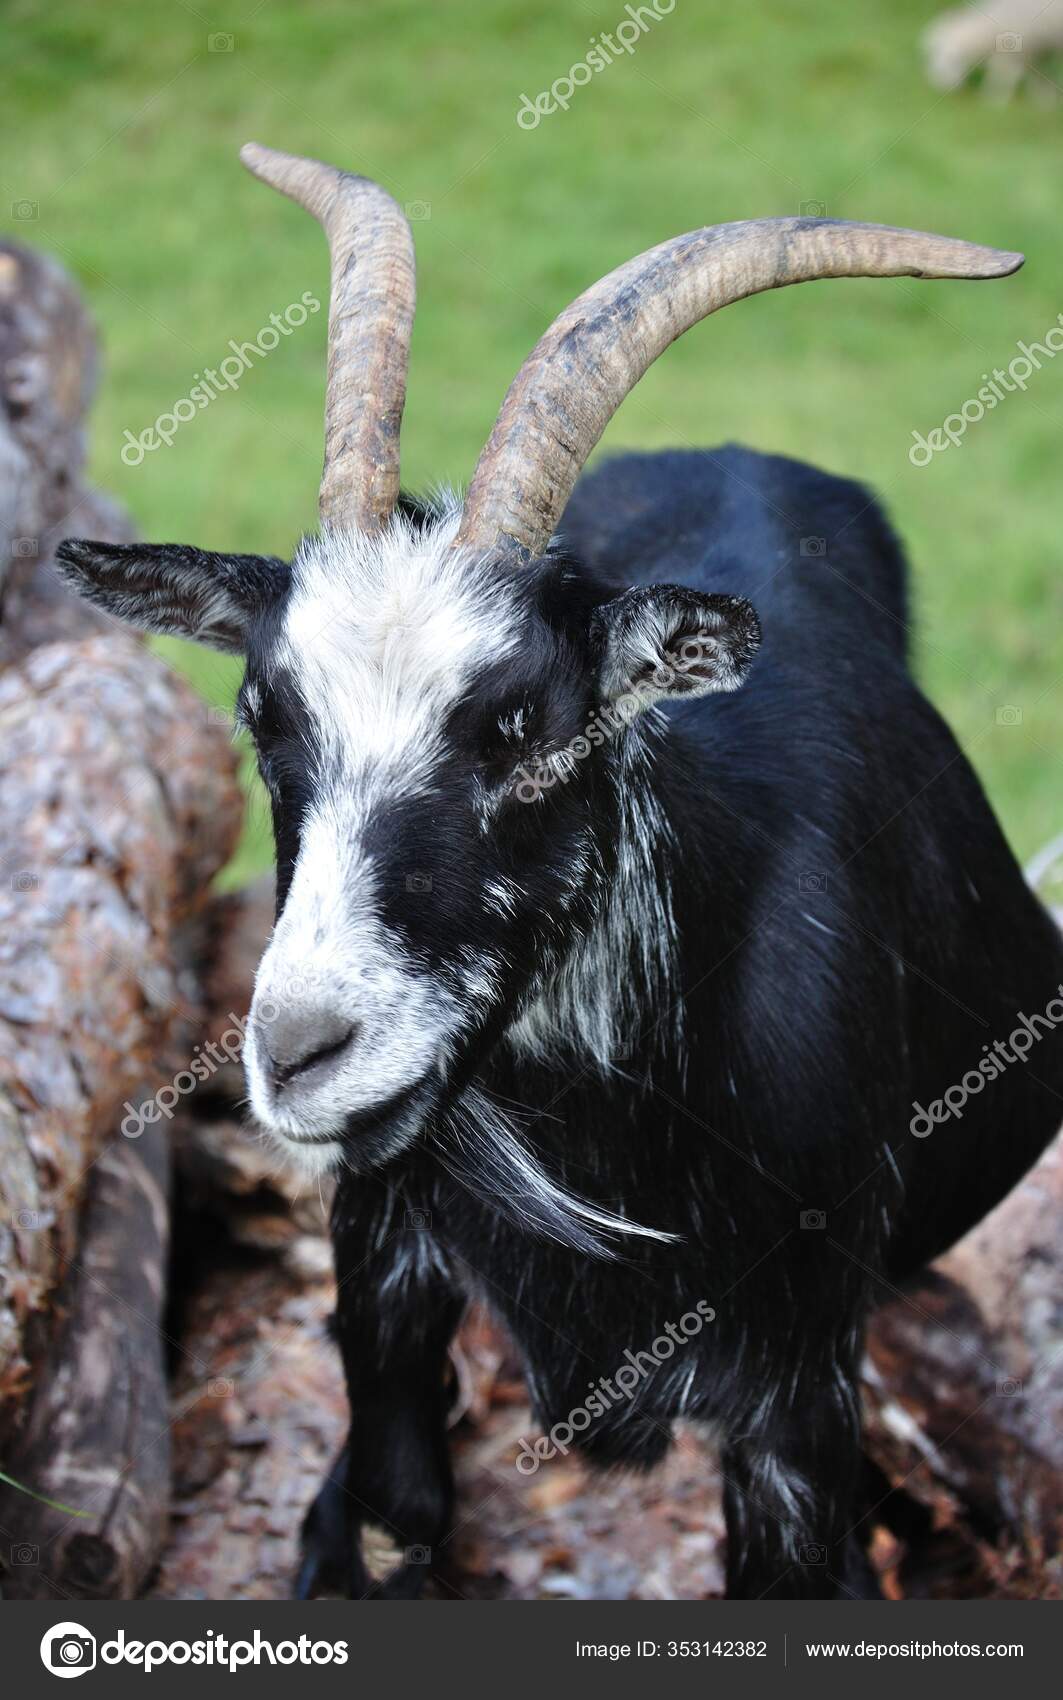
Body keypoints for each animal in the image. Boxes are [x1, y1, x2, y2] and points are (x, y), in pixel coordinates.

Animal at [57, 145, 1063, 1600]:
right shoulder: (382, 1260)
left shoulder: (796, 1391)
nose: (299, 1052)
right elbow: (396, 1501)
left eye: (531, 730)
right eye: (261, 714)